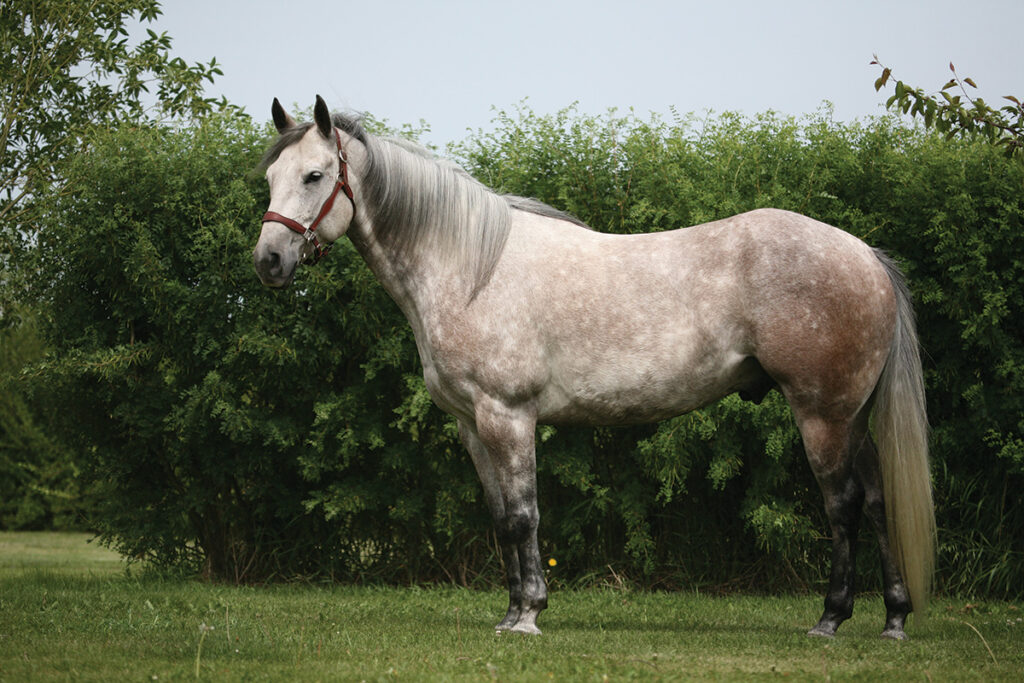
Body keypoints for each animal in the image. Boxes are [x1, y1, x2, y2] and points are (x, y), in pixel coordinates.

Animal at [253, 96, 935, 639]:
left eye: (315, 175)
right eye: (270, 177)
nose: (269, 260)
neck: (471, 269)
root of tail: (865, 255)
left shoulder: (508, 417)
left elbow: (524, 515)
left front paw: (529, 615)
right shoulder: (472, 425)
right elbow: (501, 520)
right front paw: (509, 612)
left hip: (822, 414)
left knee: (843, 505)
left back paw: (831, 618)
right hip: (852, 416)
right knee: (878, 500)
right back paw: (894, 618)